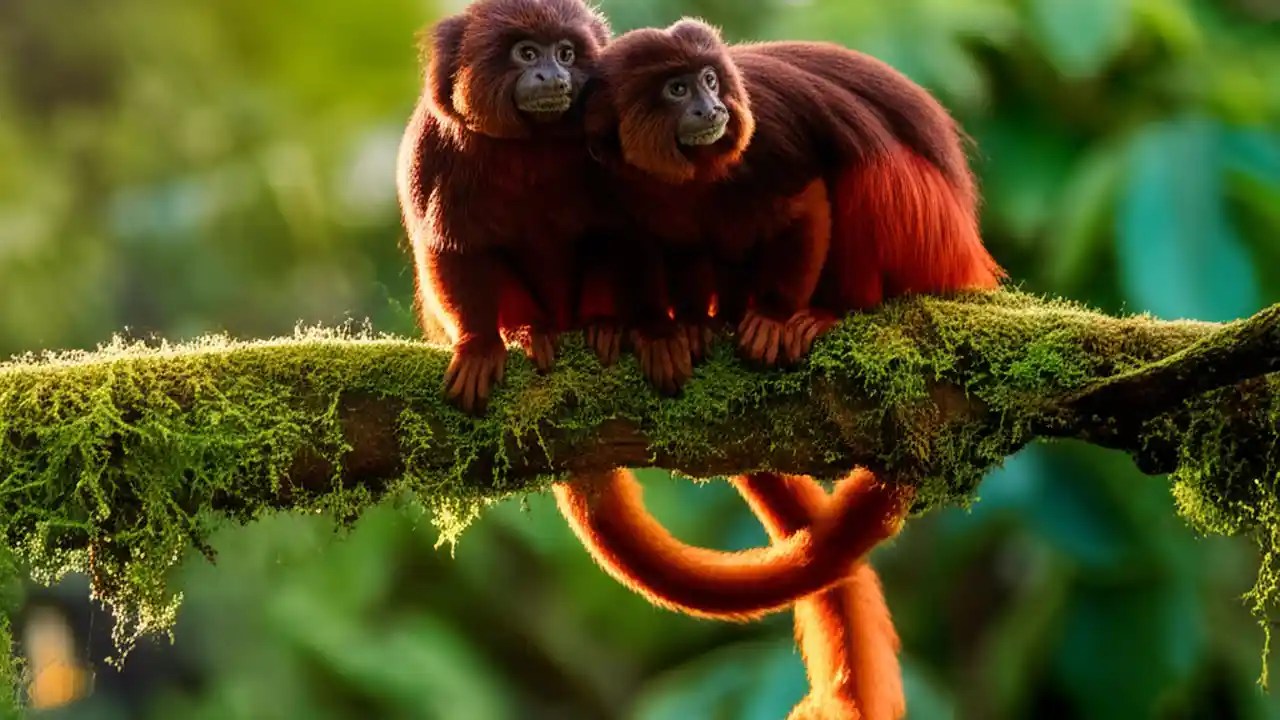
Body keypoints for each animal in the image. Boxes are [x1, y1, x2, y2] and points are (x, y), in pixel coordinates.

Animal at [396, 0, 611, 413]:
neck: (529, 145)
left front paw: (613, 321)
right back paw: (527, 330)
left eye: (565, 54)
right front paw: (479, 344)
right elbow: (452, 246)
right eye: (527, 53)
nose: (553, 75)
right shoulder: (435, 146)